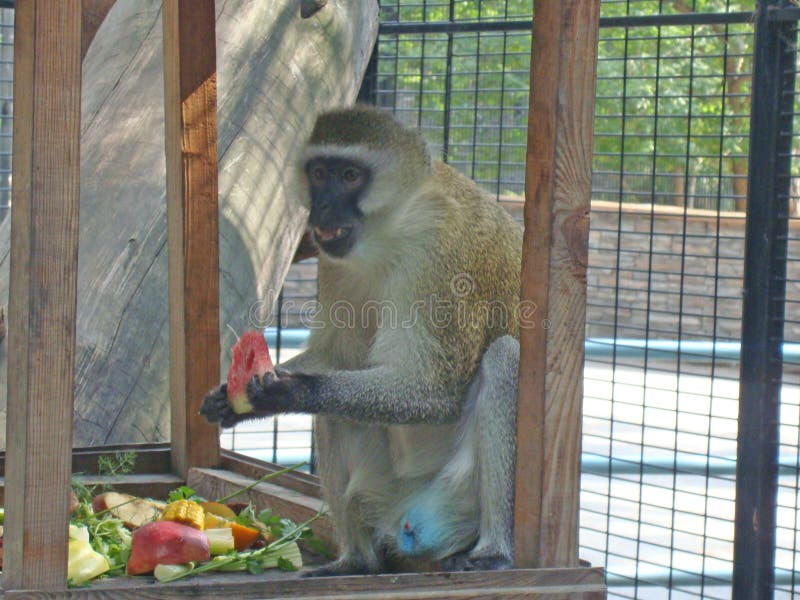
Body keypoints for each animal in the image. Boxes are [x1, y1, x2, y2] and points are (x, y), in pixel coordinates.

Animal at [201, 105, 524, 575]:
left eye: (351, 175)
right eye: (319, 173)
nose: (323, 205)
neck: (392, 228)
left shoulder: (441, 255)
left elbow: (434, 391)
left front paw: (292, 390)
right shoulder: (333, 261)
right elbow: (334, 357)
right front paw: (231, 398)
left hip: (461, 494)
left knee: (505, 358)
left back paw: (496, 551)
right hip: (387, 490)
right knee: (338, 410)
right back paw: (357, 562)